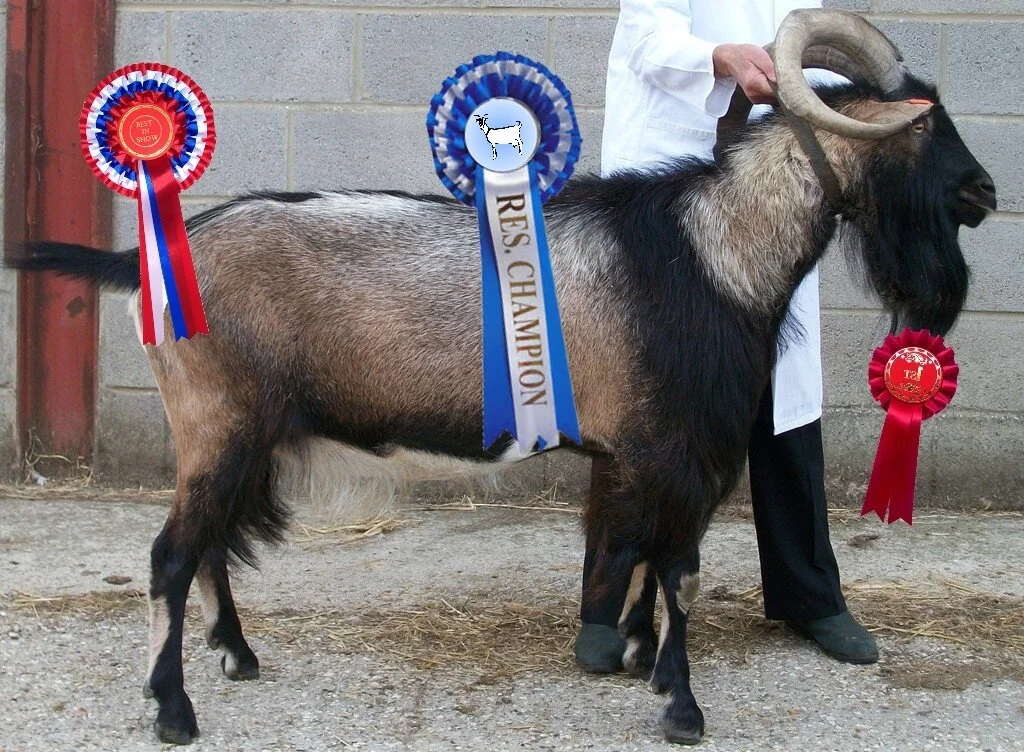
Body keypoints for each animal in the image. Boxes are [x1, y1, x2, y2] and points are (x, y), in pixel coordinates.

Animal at [12, 11, 996, 747]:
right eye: (923, 121)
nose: (985, 191)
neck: (714, 250)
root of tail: (150, 262)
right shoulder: (679, 448)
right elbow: (678, 570)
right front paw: (683, 707)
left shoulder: (655, 453)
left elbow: (647, 565)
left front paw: (639, 660)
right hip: (218, 421)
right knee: (170, 554)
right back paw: (174, 710)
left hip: (231, 432)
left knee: (207, 543)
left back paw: (237, 657)